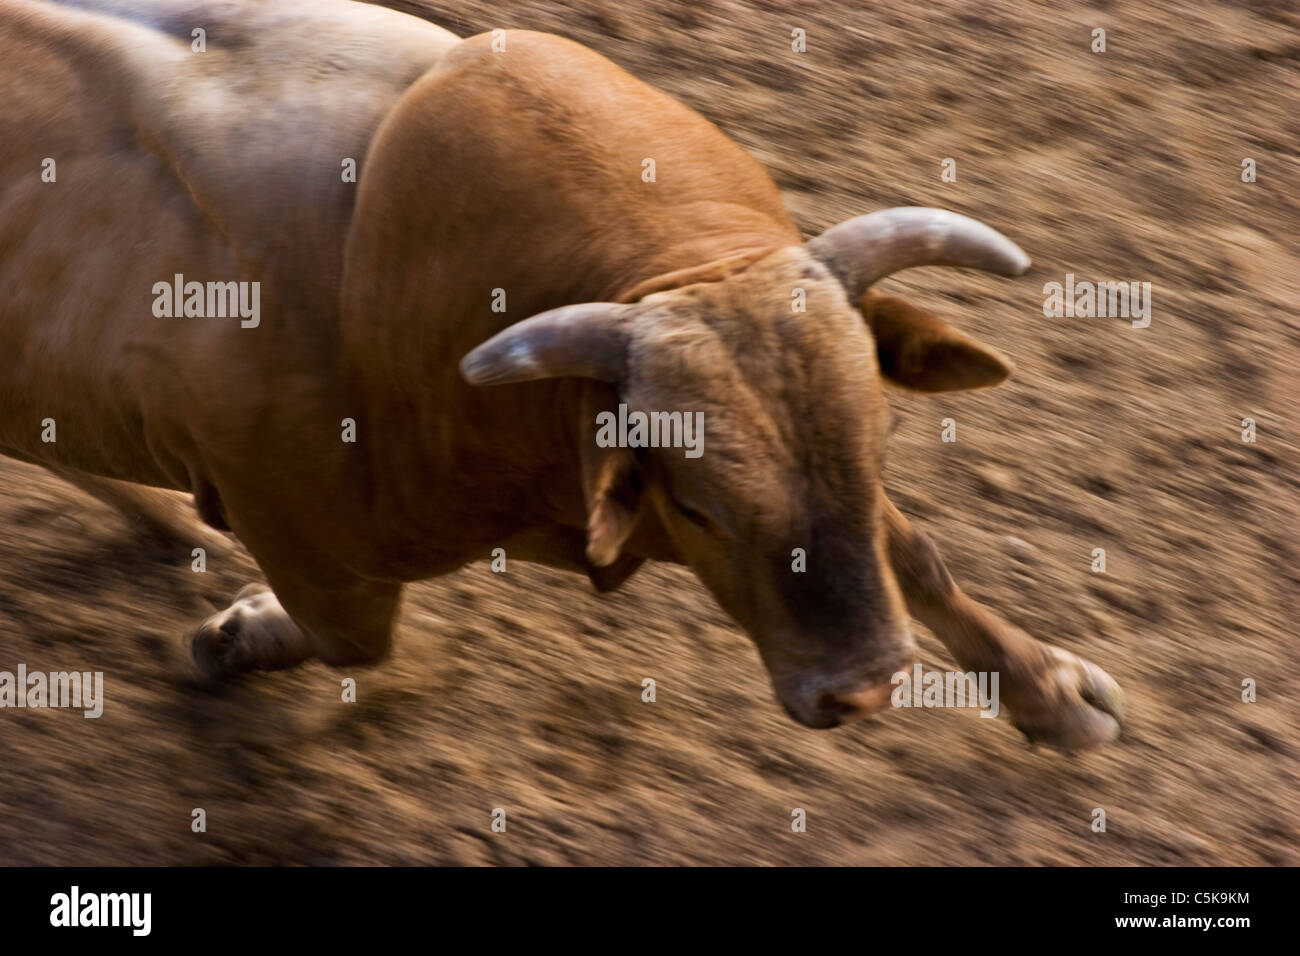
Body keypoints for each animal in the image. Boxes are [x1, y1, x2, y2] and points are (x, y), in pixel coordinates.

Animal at [0, 0, 1123, 750]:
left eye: (881, 441)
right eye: (700, 505)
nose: (865, 688)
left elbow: (911, 550)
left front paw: (1052, 691)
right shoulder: (321, 546)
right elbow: (351, 639)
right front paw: (237, 634)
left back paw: (163, 519)